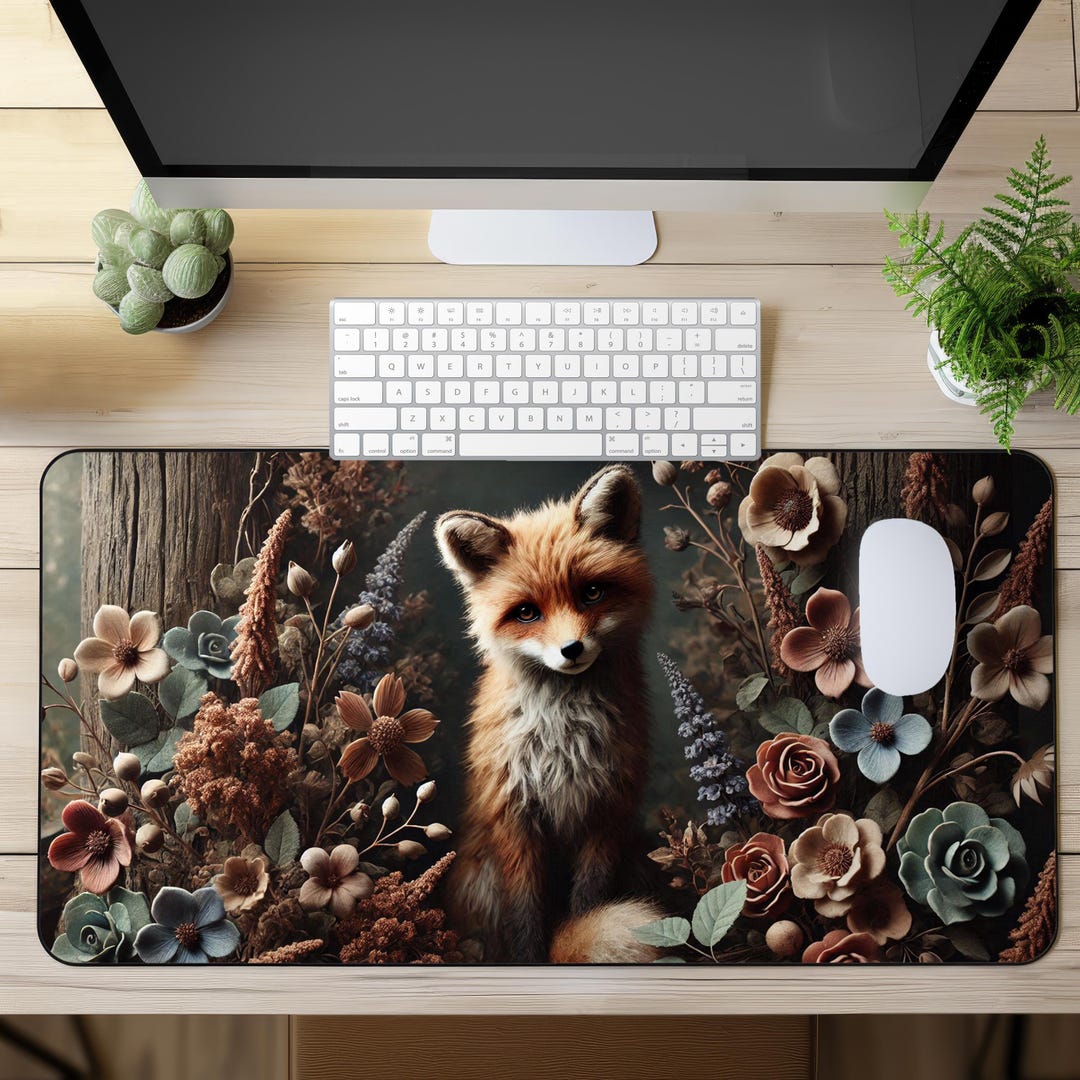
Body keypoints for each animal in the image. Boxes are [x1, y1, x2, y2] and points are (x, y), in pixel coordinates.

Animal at [436, 465, 662, 963]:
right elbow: (525, 912)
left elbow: (587, 903)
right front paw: (530, 959)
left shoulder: (607, 811)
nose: (571, 649)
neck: (565, 736)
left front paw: (575, 935)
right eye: (526, 613)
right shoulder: (515, 815)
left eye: (592, 593)